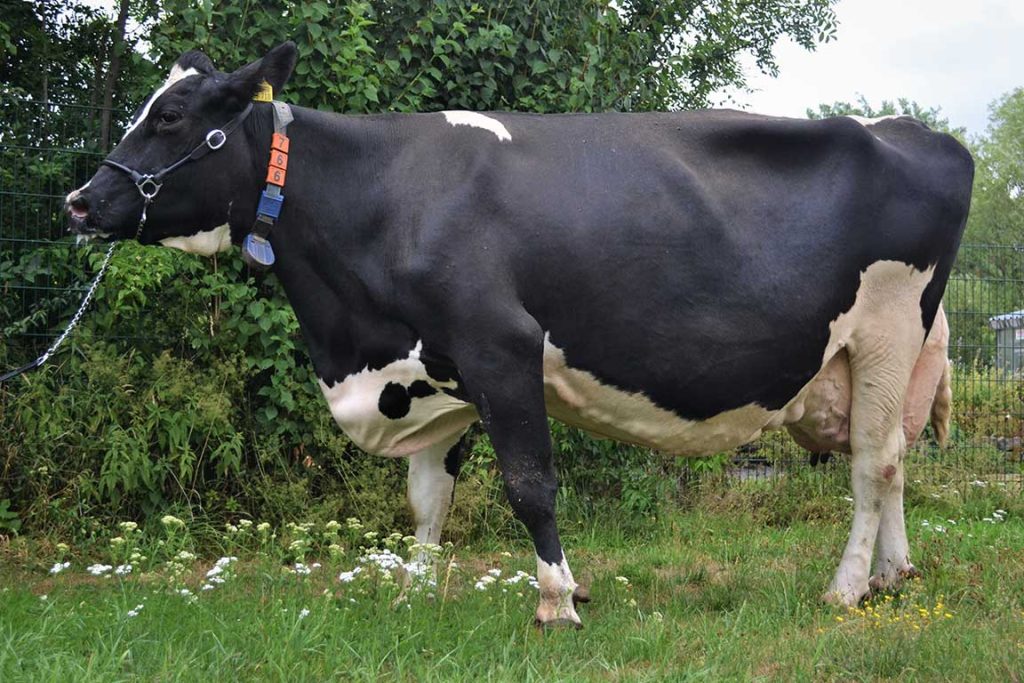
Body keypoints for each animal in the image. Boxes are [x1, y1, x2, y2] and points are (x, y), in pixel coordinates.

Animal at [66, 42, 973, 627]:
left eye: (172, 116)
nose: (80, 201)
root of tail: (912, 129)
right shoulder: (432, 369)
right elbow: (426, 499)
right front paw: (414, 597)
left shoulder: (498, 345)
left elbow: (530, 484)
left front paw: (558, 599)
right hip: (882, 351)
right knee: (893, 456)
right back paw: (897, 575)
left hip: (887, 324)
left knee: (873, 461)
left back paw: (847, 588)